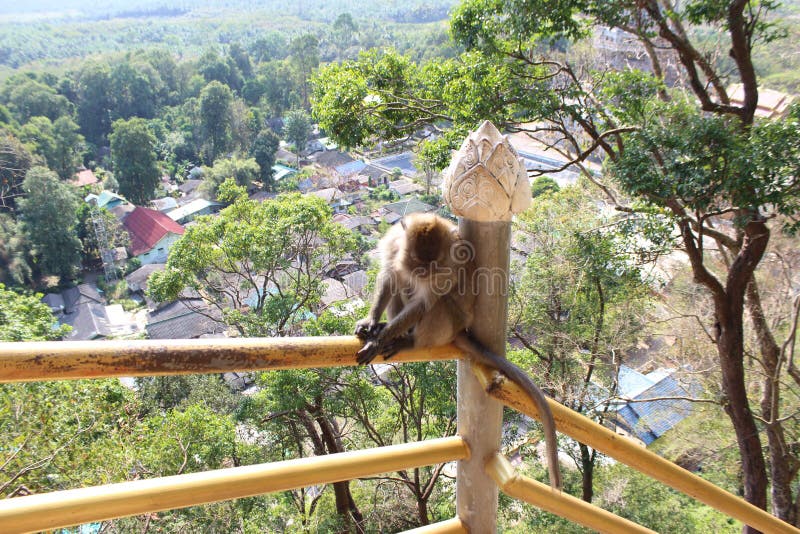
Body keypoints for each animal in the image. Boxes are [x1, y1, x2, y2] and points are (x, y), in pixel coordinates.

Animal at [355, 212, 562, 491]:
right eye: (418, 260)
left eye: (434, 263)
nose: (424, 272)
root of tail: (460, 330)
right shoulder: (394, 245)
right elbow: (389, 277)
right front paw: (371, 322)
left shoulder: (447, 268)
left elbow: (425, 302)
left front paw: (378, 341)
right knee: (401, 281)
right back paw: (394, 331)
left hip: (451, 322)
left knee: (439, 304)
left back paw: (409, 342)